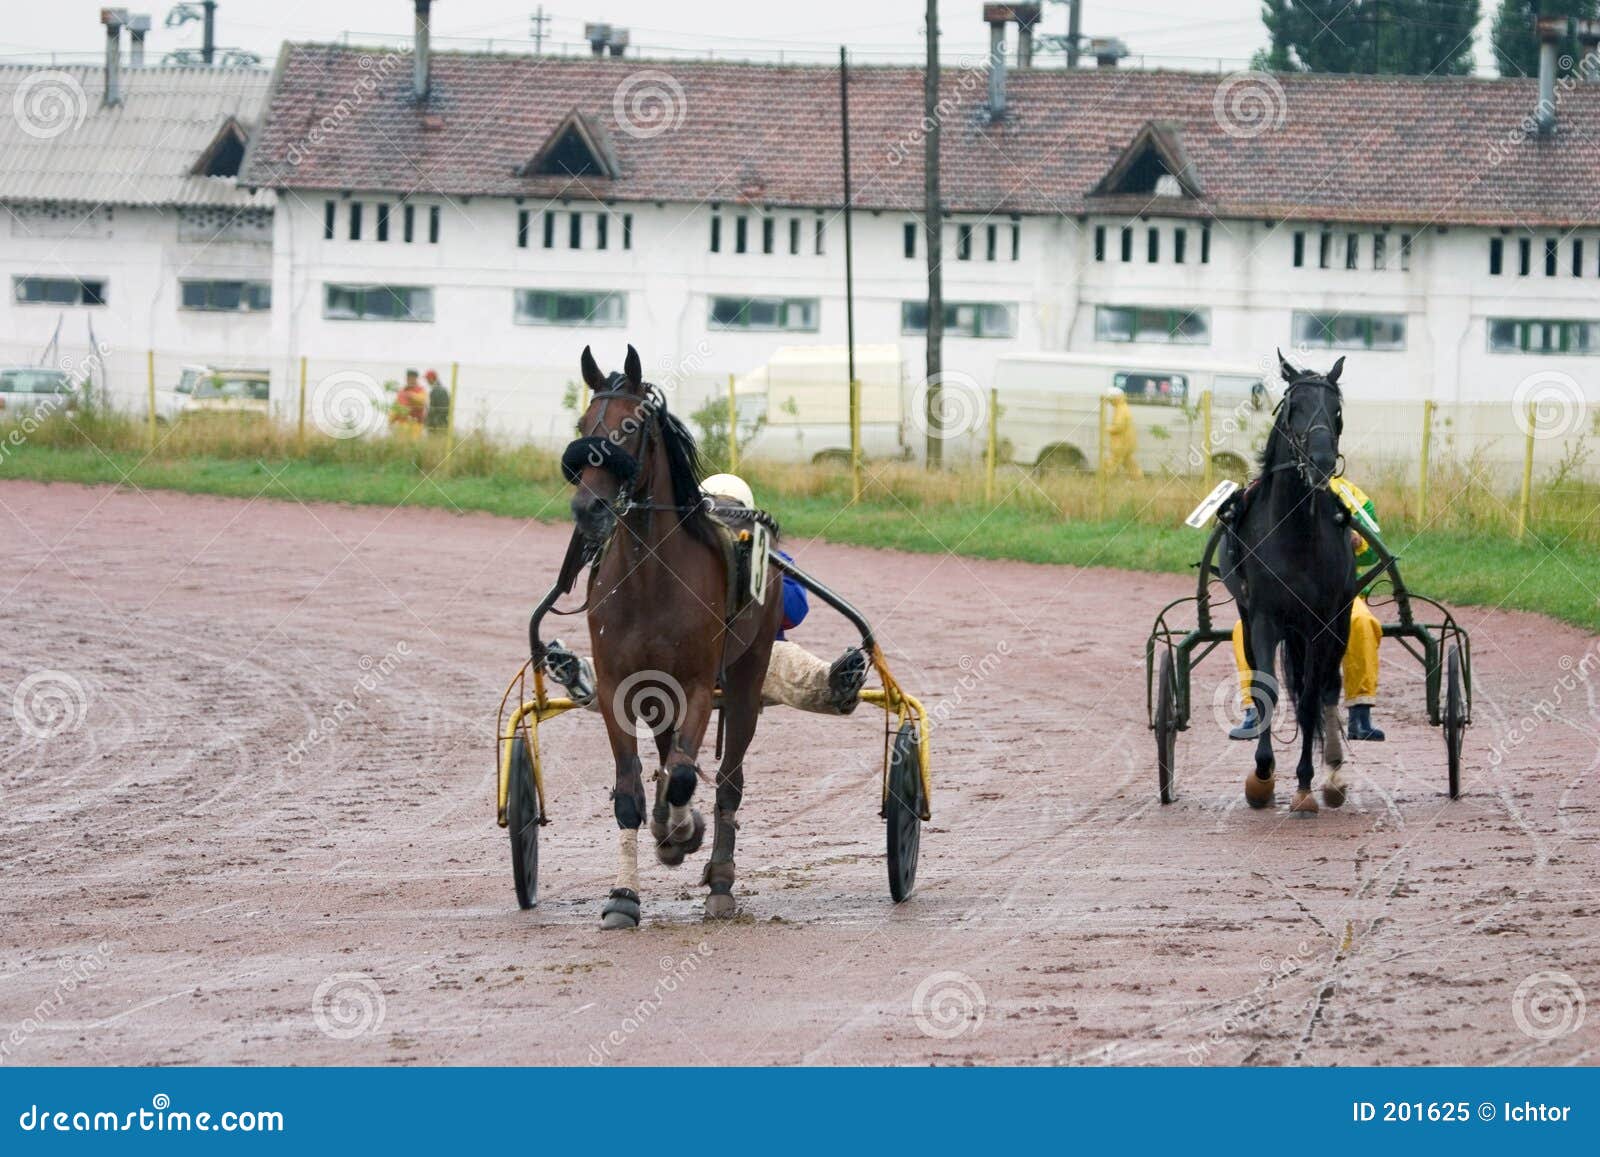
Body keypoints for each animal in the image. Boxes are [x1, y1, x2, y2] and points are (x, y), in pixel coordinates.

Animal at [561, 345, 785, 928]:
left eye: (629, 428)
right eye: (583, 427)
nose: (587, 509)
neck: (649, 581)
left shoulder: (700, 686)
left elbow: (685, 774)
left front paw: (685, 829)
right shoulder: (620, 687)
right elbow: (630, 792)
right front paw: (624, 894)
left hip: (748, 674)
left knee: (728, 779)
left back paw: (719, 879)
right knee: (667, 756)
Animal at [1219, 352, 1356, 816]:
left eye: (1336, 410)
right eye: (1295, 407)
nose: (1320, 460)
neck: (1295, 533)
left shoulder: (1320, 622)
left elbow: (1311, 697)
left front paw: (1305, 782)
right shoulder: (1264, 617)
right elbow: (1269, 690)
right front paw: (1261, 776)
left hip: (1339, 624)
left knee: (1328, 688)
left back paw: (1332, 773)